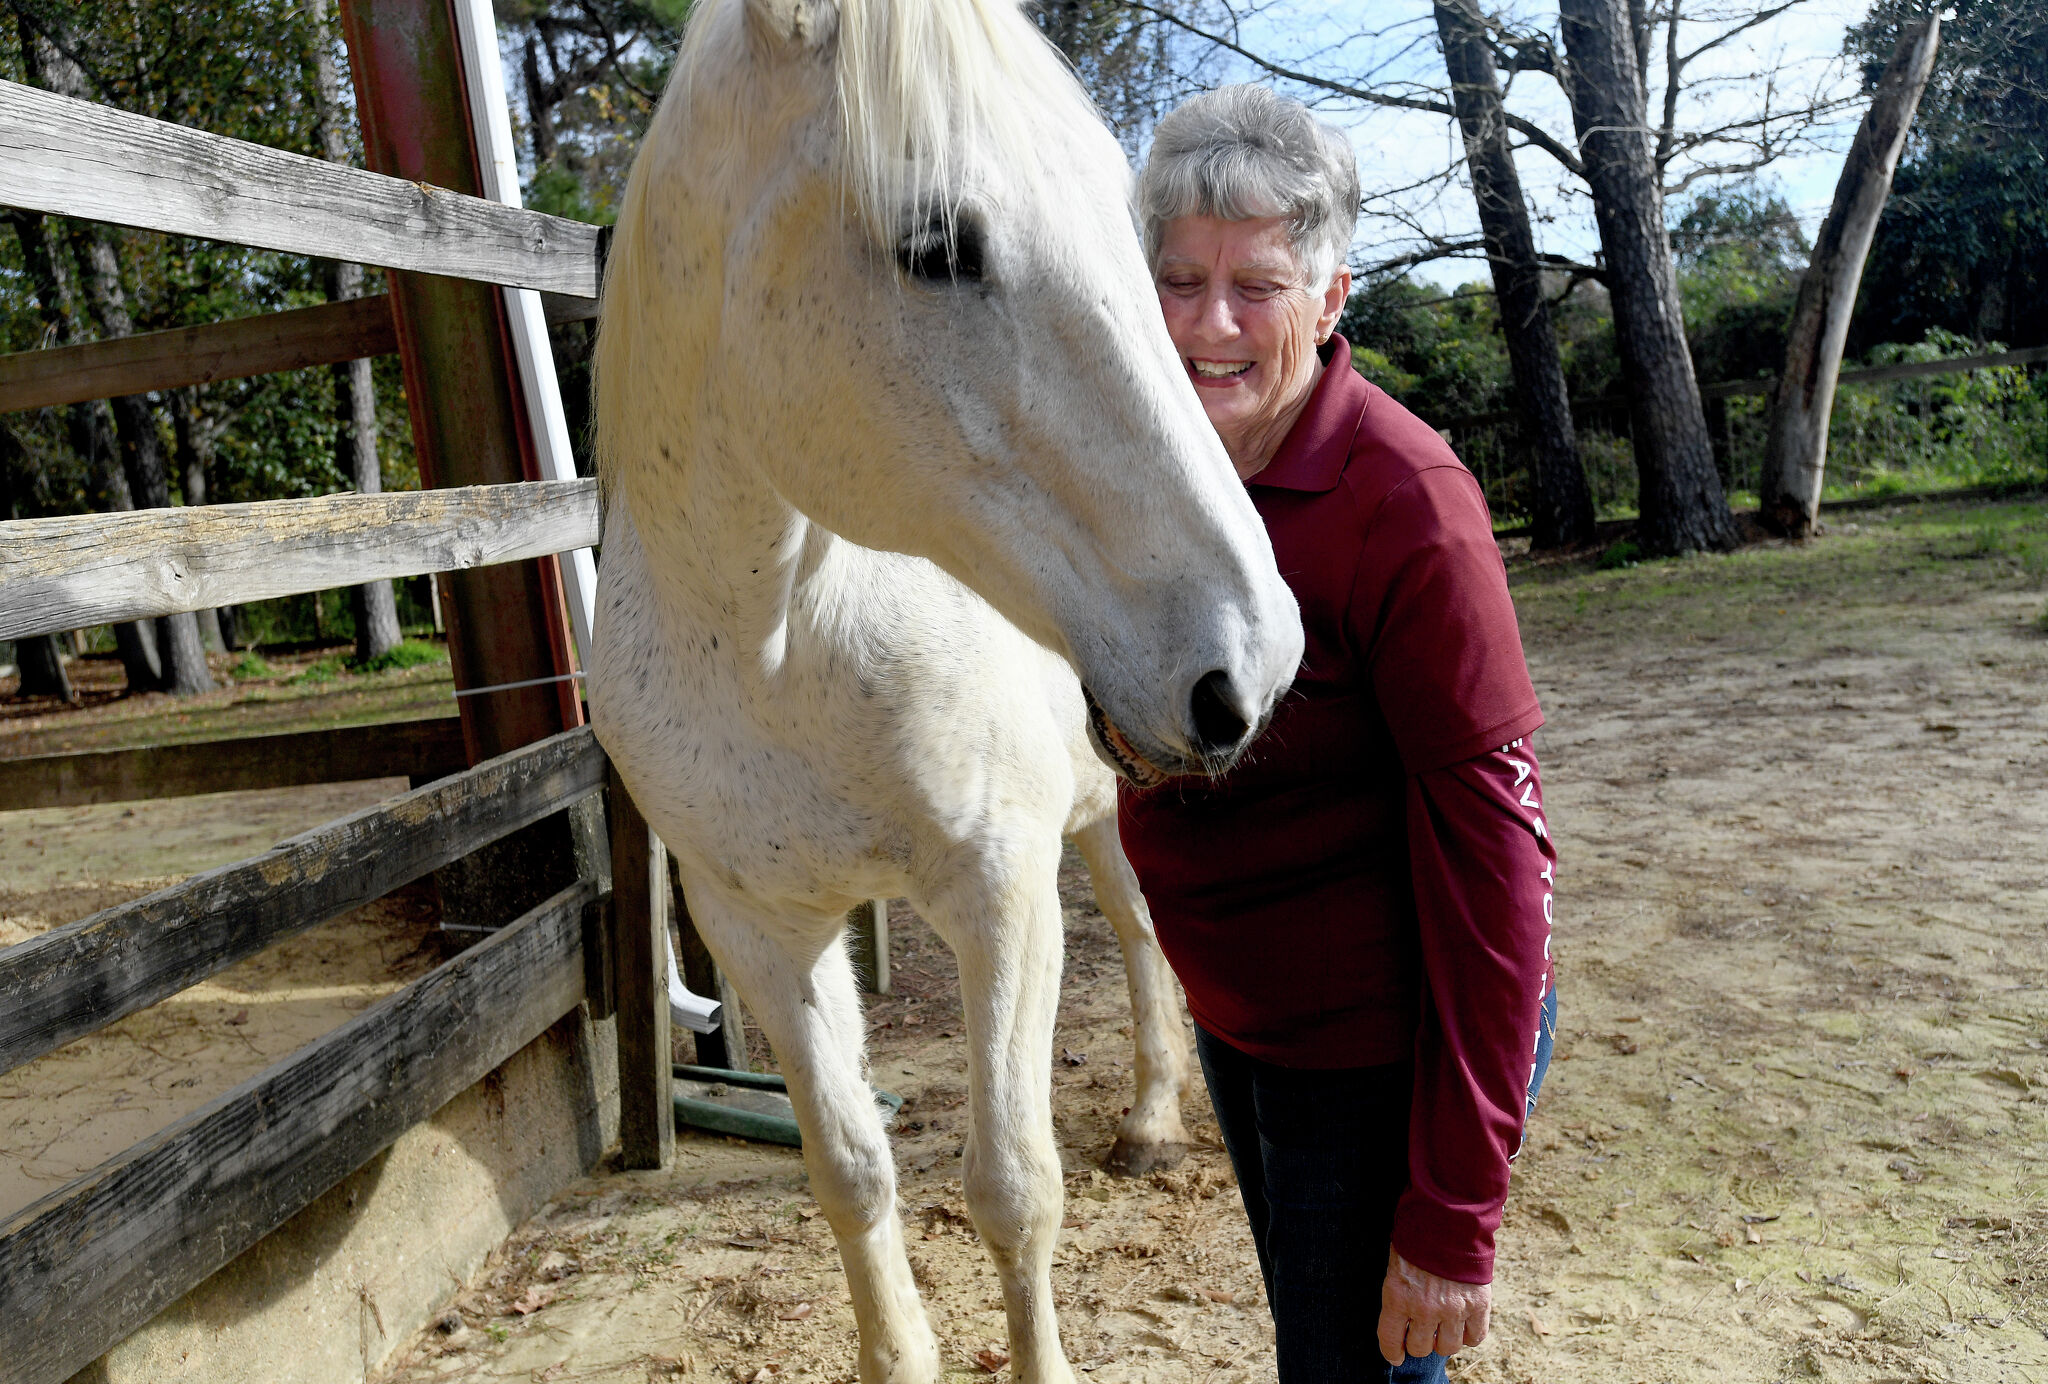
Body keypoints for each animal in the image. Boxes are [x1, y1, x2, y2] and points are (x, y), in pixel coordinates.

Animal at [586, 1, 1302, 1379]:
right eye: (937, 245)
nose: (1256, 649)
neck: (773, 645)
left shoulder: (997, 892)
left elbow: (1012, 1188)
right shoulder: (758, 928)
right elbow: (851, 1173)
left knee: (1144, 936)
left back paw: (1151, 1119)